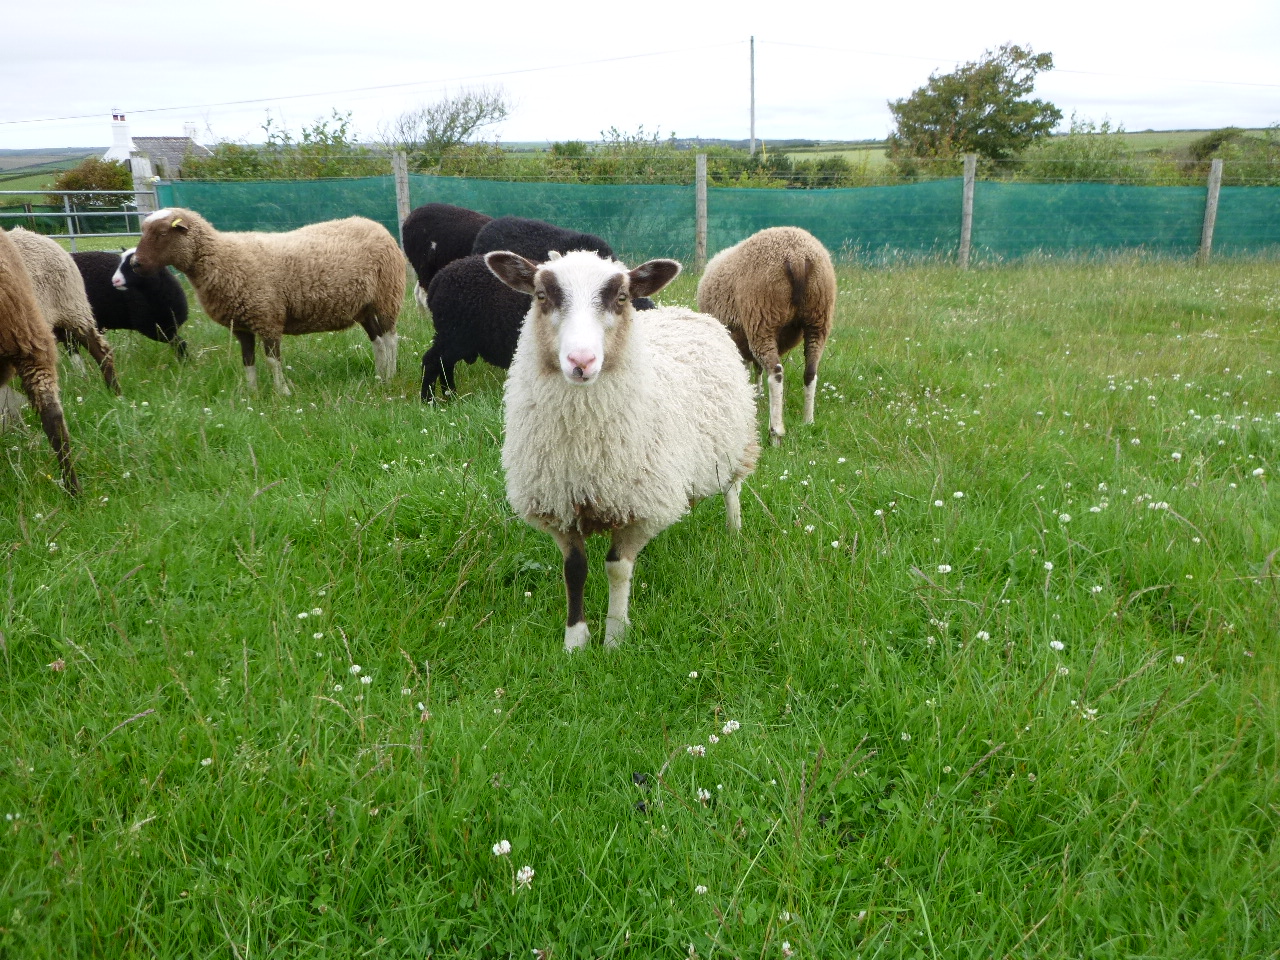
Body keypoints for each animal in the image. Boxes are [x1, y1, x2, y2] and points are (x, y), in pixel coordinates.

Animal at [131, 208, 405, 395]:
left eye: (162, 233)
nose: (134, 264)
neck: (222, 257)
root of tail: (374, 224)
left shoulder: (267, 316)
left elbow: (273, 360)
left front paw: (282, 392)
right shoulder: (242, 326)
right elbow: (248, 361)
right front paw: (251, 393)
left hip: (387, 295)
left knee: (390, 337)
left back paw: (391, 374)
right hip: (364, 307)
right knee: (378, 339)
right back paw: (380, 375)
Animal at [420, 253, 656, 400]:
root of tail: (438, 280)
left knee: (444, 364)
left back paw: (450, 396)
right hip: (454, 333)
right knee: (432, 361)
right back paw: (429, 401)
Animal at [487, 249, 758, 652]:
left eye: (620, 298)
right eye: (541, 296)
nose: (581, 362)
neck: (584, 451)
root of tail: (683, 310)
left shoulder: (638, 507)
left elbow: (618, 569)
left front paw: (615, 636)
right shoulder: (560, 505)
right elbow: (574, 570)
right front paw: (575, 641)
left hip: (731, 444)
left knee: (732, 489)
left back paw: (734, 530)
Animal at [696, 226, 836, 445]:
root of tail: (797, 256)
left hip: (761, 316)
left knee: (776, 372)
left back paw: (775, 432)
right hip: (818, 317)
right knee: (810, 371)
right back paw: (808, 422)